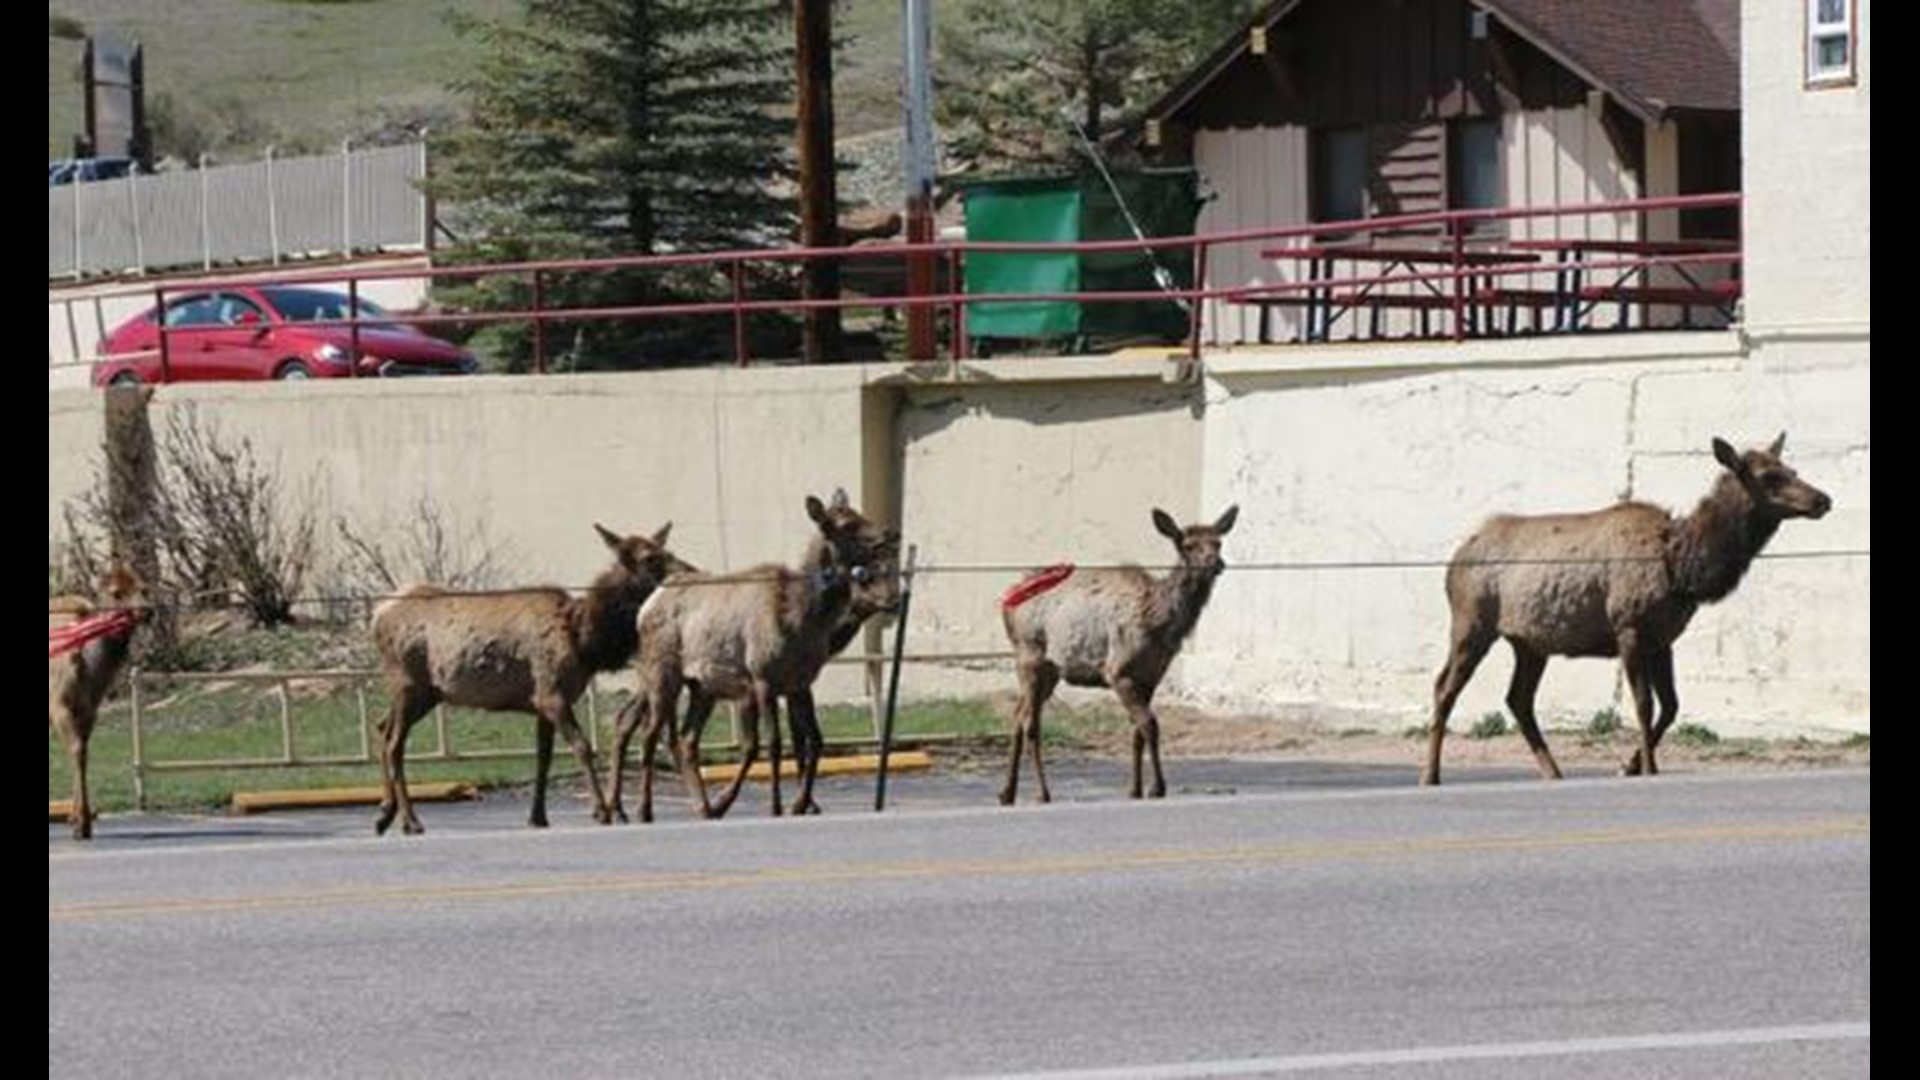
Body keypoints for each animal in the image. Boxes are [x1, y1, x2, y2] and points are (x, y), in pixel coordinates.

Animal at [49, 565, 151, 841]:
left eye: (144, 587)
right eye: (116, 592)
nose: (147, 610)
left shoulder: (89, 710)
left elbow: (82, 753)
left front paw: (81, 821)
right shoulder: (58, 705)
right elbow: (76, 750)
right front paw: (80, 822)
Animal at [369, 523, 692, 835]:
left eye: (667, 550)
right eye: (649, 558)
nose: (690, 571)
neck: (584, 641)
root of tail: (376, 615)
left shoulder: (540, 702)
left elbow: (543, 758)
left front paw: (538, 817)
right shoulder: (552, 695)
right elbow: (582, 747)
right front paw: (601, 811)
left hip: (425, 693)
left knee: (382, 728)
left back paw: (386, 813)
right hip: (408, 685)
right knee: (394, 744)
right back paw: (410, 821)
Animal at [609, 489, 900, 825]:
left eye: (859, 513)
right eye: (846, 524)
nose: (891, 533)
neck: (805, 617)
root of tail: (647, 606)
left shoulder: (799, 683)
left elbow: (813, 741)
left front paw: (800, 804)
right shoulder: (762, 678)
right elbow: (772, 744)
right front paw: (776, 806)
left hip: (702, 687)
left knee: (685, 739)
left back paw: (705, 807)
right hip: (662, 673)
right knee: (649, 734)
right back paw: (644, 809)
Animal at [999, 505, 1239, 805]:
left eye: (1218, 543)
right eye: (1188, 546)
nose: (1216, 563)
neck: (1160, 624)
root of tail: (1006, 605)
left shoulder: (1150, 677)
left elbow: (1137, 732)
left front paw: (1135, 789)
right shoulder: (1118, 671)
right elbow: (1150, 724)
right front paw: (1157, 787)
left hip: (1049, 671)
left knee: (1018, 716)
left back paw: (1007, 793)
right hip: (1030, 655)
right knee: (1031, 723)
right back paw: (1042, 793)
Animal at [1424, 434, 1832, 786]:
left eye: (1792, 469)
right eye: (1767, 476)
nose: (1823, 499)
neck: (1682, 569)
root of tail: (1455, 559)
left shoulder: (1663, 639)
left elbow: (1671, 706)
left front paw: (1629, 765)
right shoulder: (1629, 628)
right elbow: (1643, 704)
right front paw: (1647, 768)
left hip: (1530, 643)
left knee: (1518, 699)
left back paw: (1553, 772)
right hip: (1471, 623)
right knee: (1444, 687)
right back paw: (1430, 775)